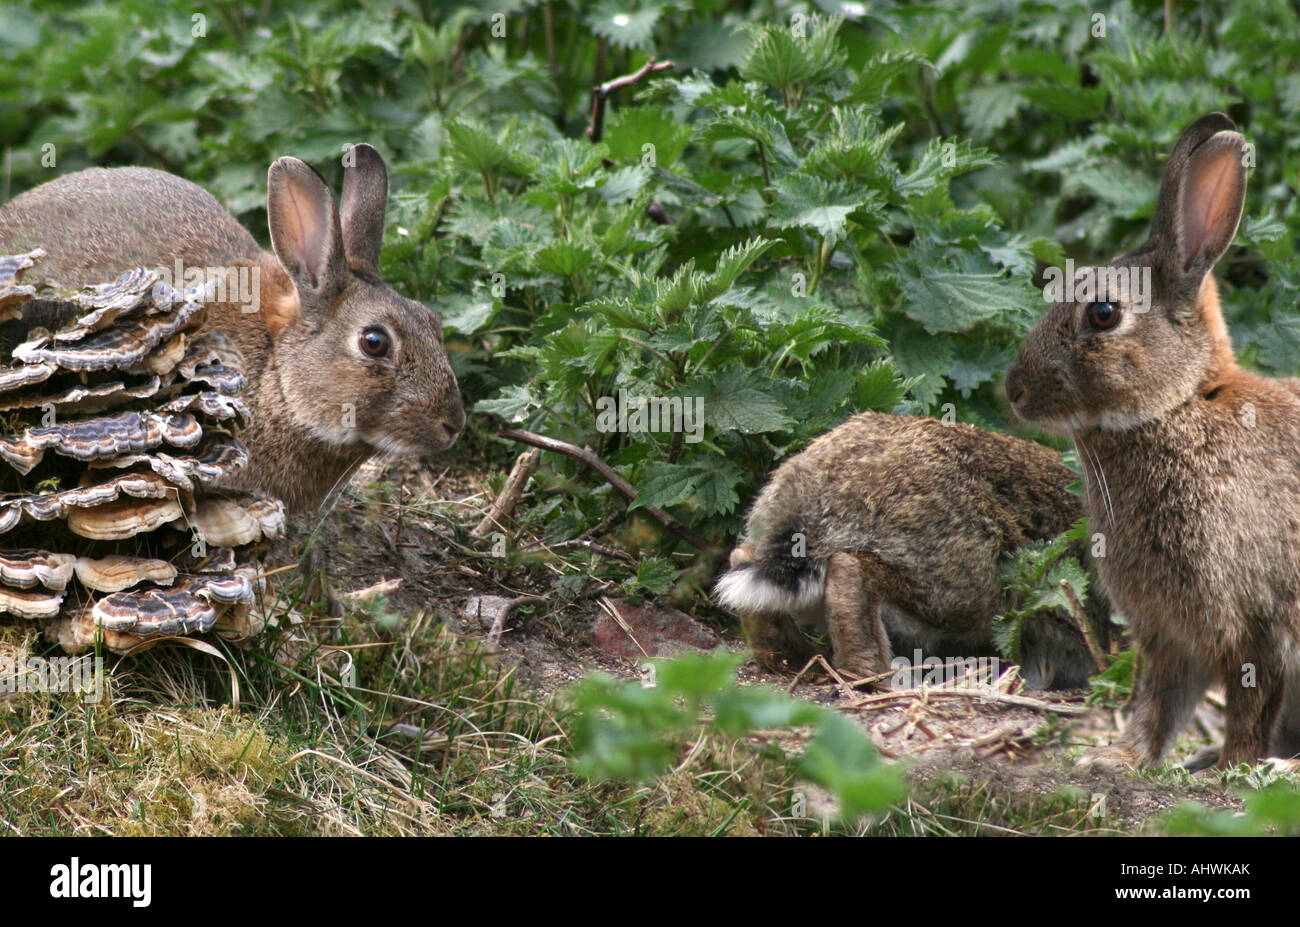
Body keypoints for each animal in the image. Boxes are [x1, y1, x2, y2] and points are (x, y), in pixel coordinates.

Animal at [1005, 113, 1300, 772]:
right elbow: (1155, 704)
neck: (1181, 404)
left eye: (1104, 314)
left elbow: (1250, 706)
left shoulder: (1258, 625)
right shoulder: (1167, 634)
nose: (1014, 391)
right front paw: (1117, 759)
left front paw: (1233, 769)